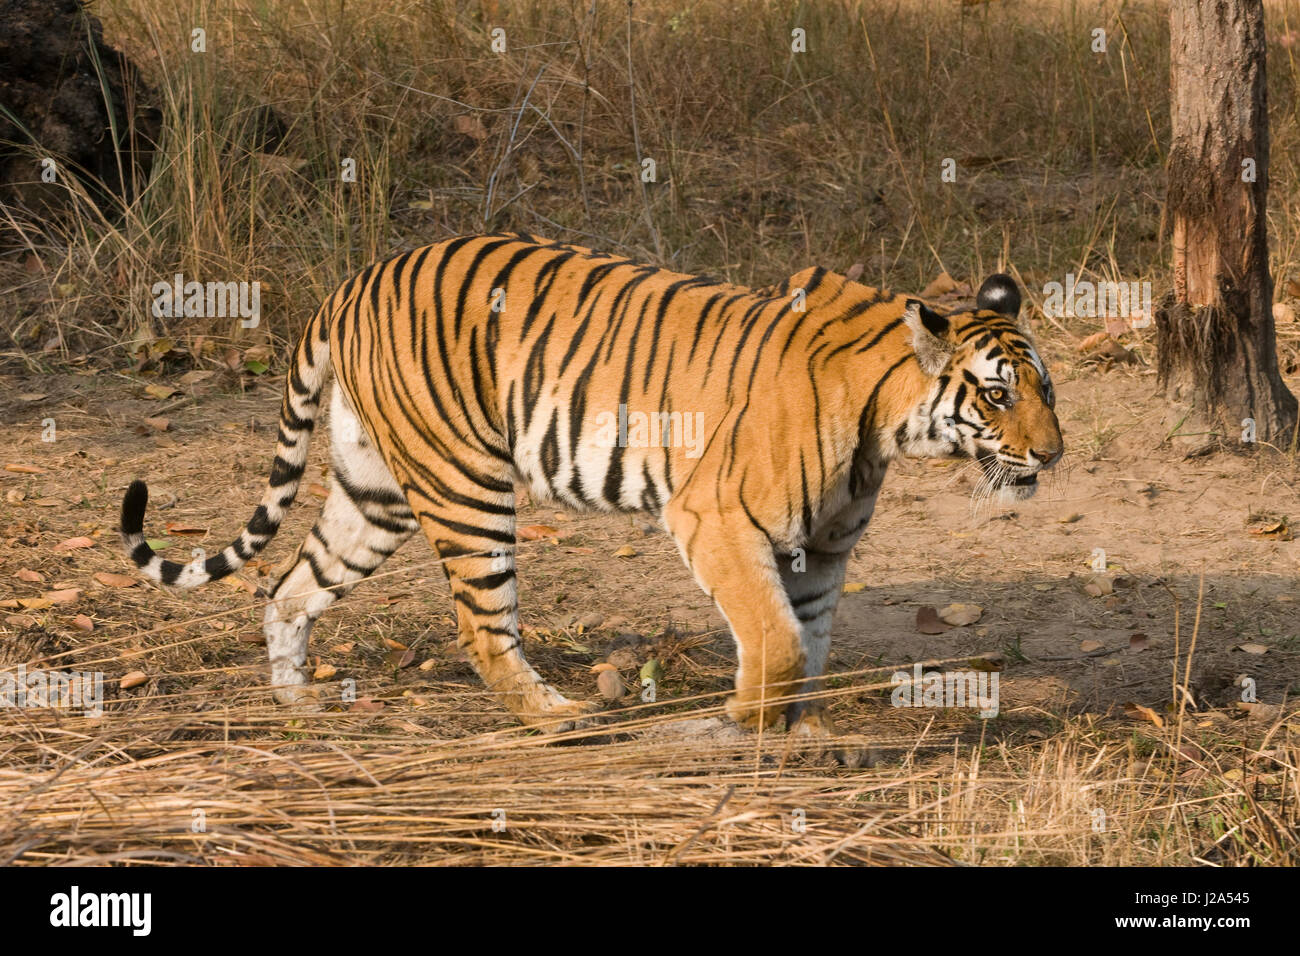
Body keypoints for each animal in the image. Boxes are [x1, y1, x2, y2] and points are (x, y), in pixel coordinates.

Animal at [120, 233, 1063, 742]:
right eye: (997, 395)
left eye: (1046, 390)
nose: (1052, 457)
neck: (885, 422)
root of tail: (349, 284)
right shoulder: (715, 516)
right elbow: (778, 640)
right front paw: (748, 727)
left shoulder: (823, 547)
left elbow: (811, 640)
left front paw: (797, 729)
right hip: (465, 482)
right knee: (482, 621)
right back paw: (553, 715)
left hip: (373, 492)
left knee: (288, 586)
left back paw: (298, 705)